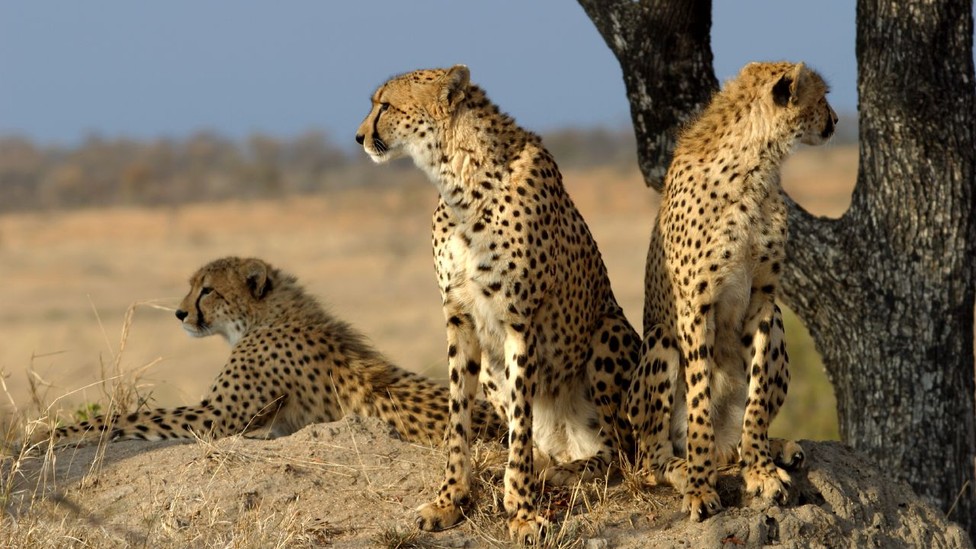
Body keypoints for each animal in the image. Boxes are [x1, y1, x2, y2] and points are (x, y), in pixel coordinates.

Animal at [28, 256, 504, 449]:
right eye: (193, 286)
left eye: (207, 290)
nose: (180, 313)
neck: (265, 316)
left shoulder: (217, 416)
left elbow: (130, 417)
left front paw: (59, 433)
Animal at [356, 65, 640, 542]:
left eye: (386, 105)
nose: (359, 137)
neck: (460, 178)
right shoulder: (459, 317)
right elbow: (459, 418)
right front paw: (450, 499)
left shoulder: (518, 320)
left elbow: (521, 422)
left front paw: (522, 511)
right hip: (493, 368)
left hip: (608, 332)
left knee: (622, 450)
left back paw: (571, 470)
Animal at [630, 61, 838, 521]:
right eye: (821, 97)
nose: (835, 121)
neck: (755, 167)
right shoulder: (695, 306)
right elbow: (699, 404)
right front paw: (700, 487)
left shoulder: (763, 301)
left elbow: (756, 400)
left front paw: (761, 470)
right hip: (660, 343)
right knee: (650, 458)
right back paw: (682, 468)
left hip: (777, 324)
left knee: (736, 436)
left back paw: (767, 448)